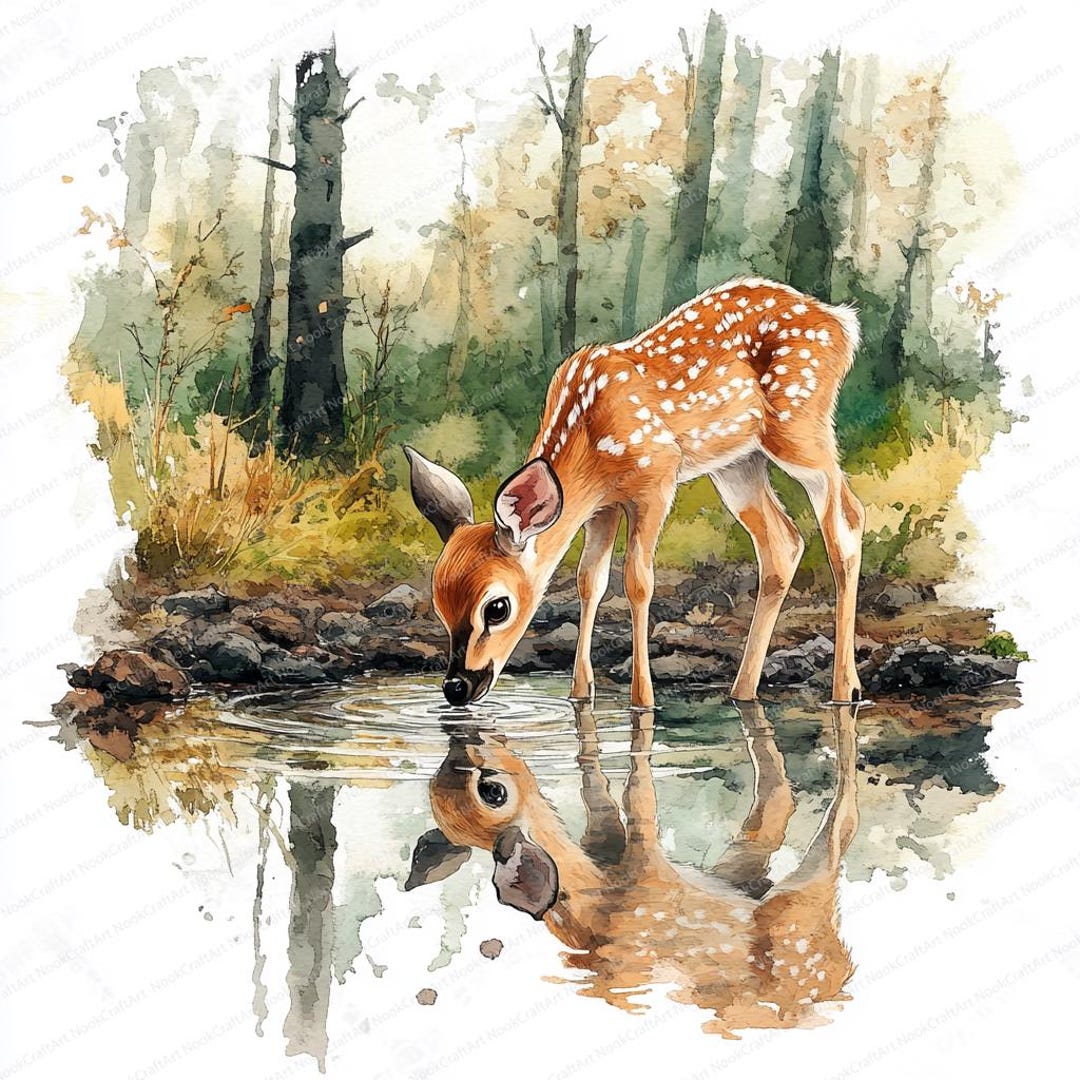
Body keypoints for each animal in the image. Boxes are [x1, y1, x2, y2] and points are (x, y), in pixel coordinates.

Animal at [405, 276, 865, 708]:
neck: (588, 439)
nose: (456, 688)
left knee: (848, 516)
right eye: (438, 603)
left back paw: (846, 689)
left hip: (799, 425)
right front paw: (580, 694)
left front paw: (642, 701)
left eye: (497, 607)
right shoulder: (601, 506)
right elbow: (589, 580)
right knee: (783, 542)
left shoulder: (656, 478)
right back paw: (742, 691)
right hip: (738, 464)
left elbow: (637, 581)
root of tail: (841, 321)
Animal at [407, 700, 862, 1035]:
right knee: (836, 819)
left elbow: (600, 786)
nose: (463, 736)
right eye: (493, 791)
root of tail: (837, 981)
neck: (595, 887)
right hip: (800, 912)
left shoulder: (612, 839)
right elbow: (639, 794)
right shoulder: (651, 868)